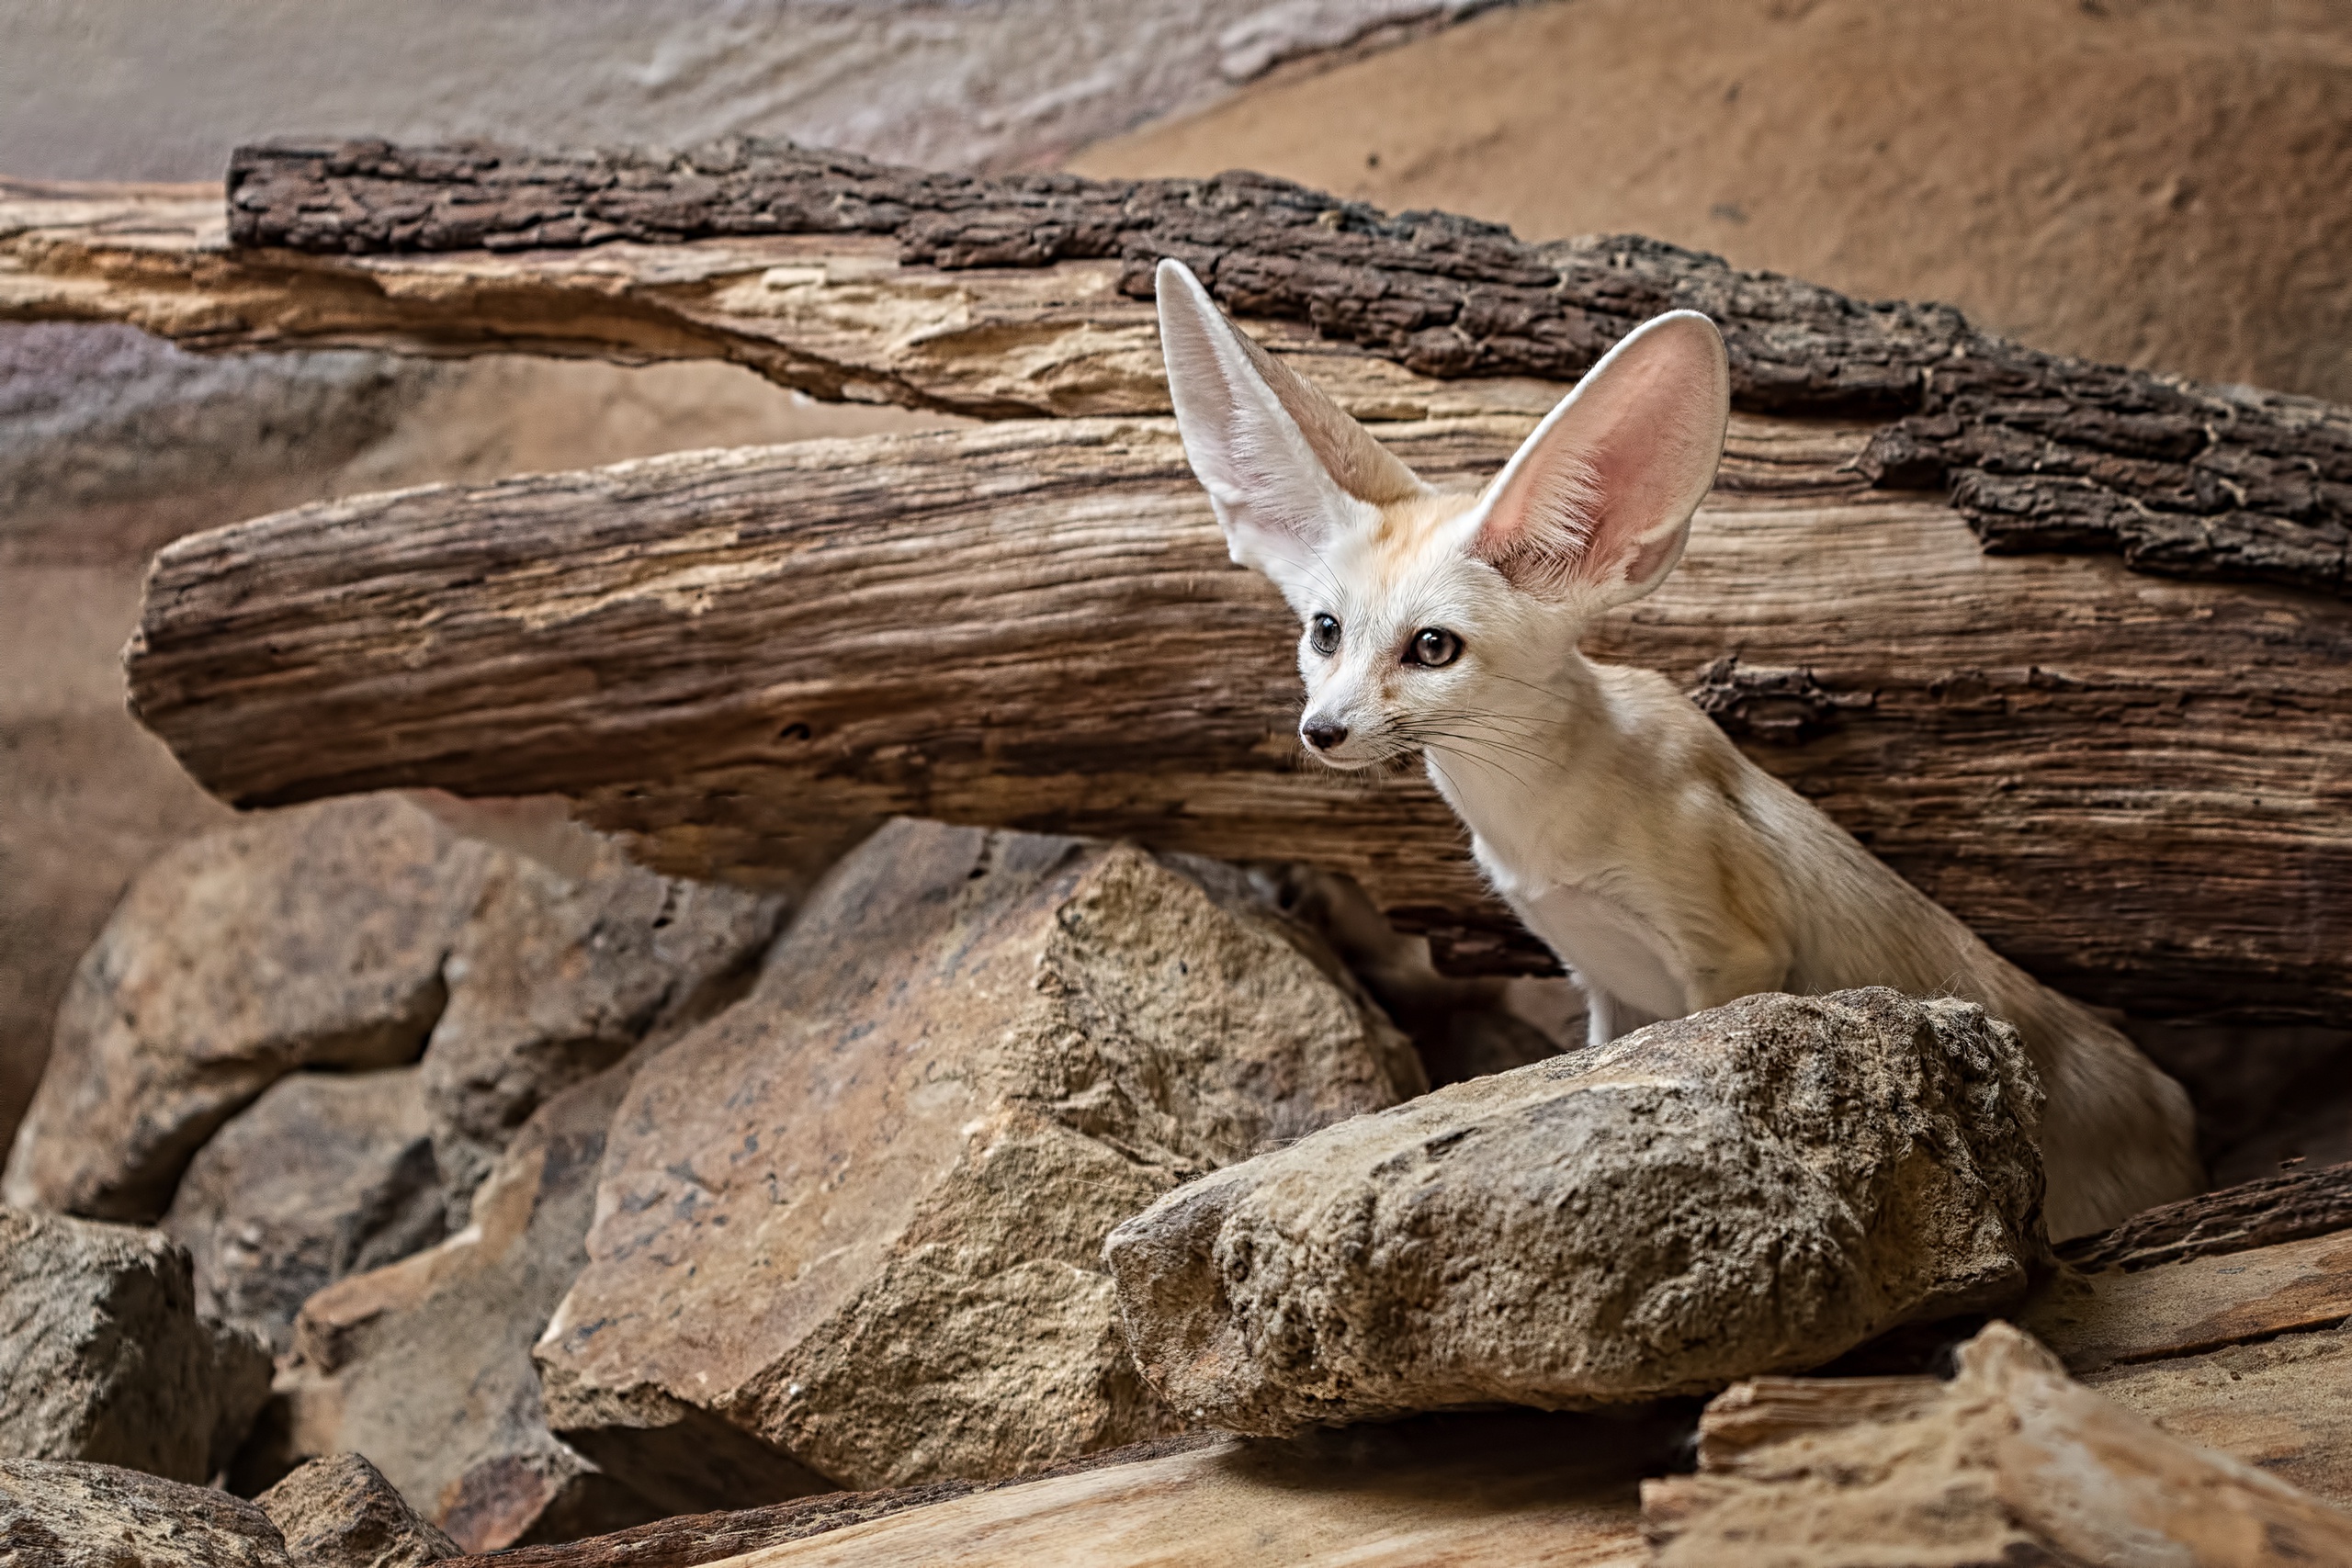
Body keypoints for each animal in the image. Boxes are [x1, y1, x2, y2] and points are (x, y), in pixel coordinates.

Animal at [1153, 257, 2200, 1241]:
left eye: (1433, 648)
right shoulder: (1603, 986)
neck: (1540, 818)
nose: (1320, 731)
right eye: (1325, 632)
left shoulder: (1730, 953)